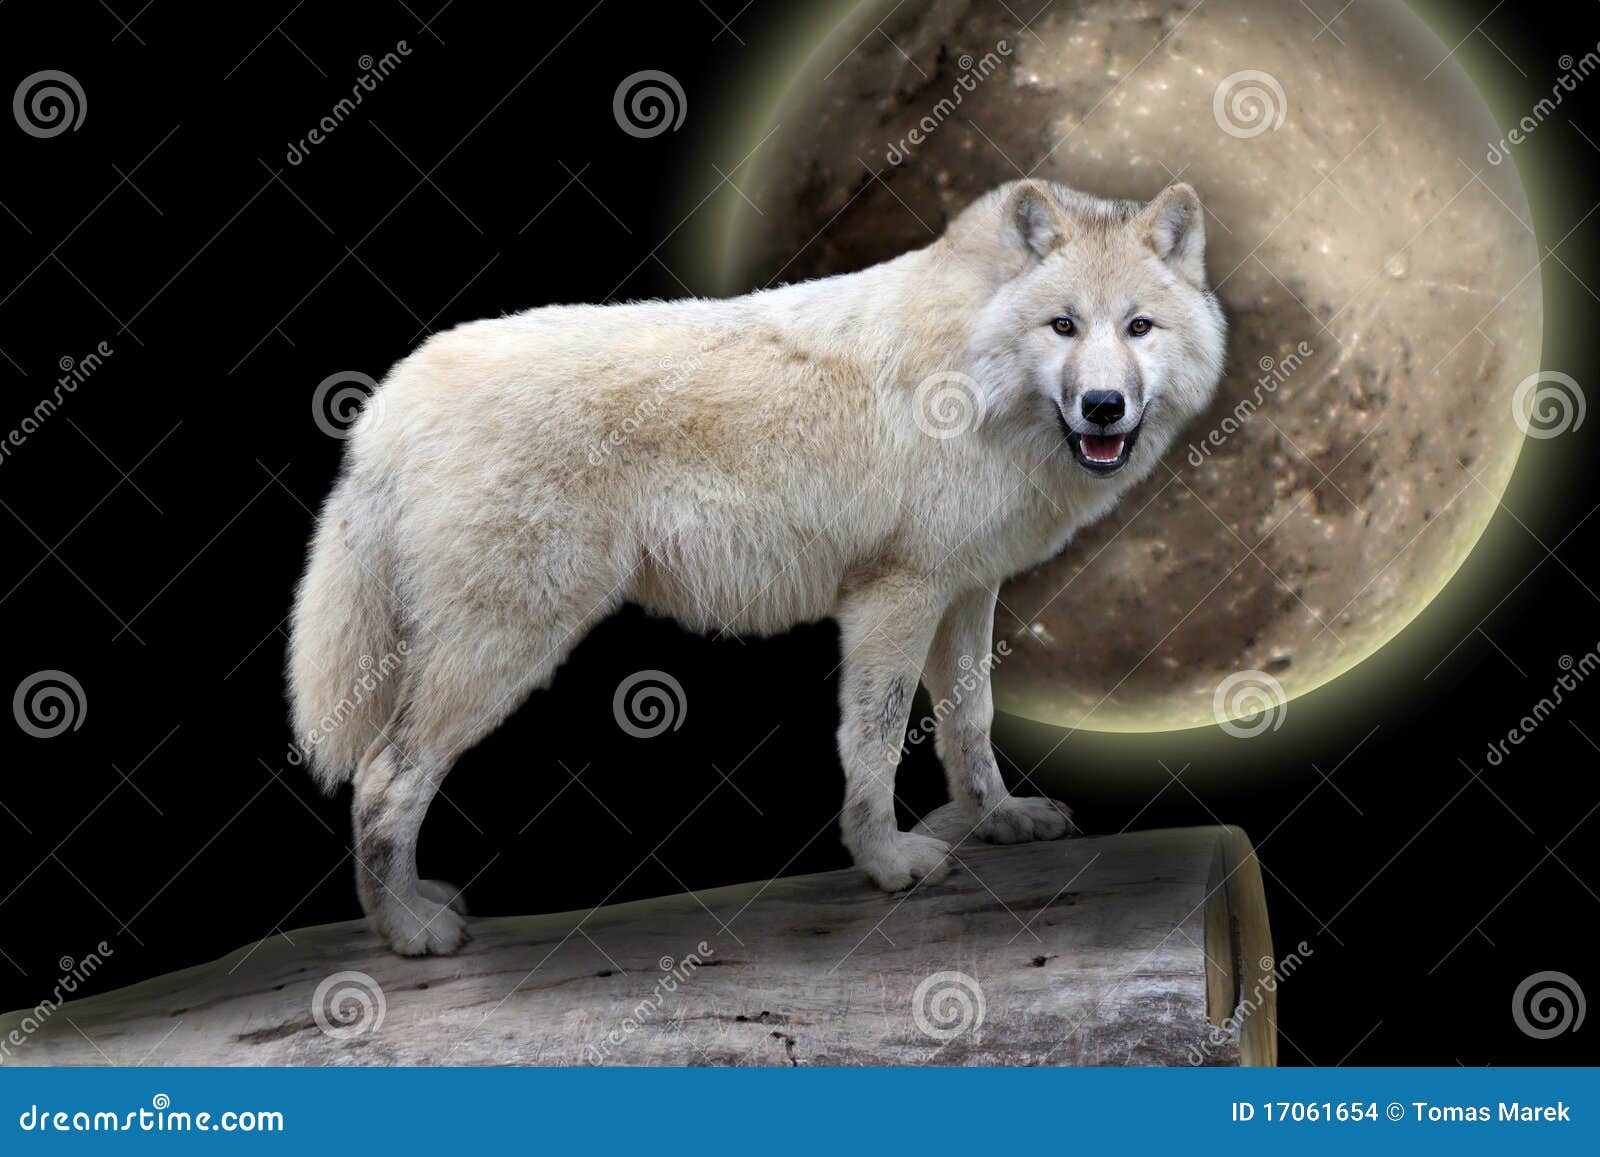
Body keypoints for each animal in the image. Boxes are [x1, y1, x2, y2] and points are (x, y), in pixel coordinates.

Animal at [288, 179, 1227, 955]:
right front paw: (887, 861)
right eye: (1062, 325)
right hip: (503, 650)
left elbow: (970, 720)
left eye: (1138, 326)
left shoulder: (966, 589)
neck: (973, 372)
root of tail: (391, 399)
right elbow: (875, 738)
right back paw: (409, 933)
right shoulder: (896, 593)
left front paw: (997, 819)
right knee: (383, 780)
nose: (1103, 405)